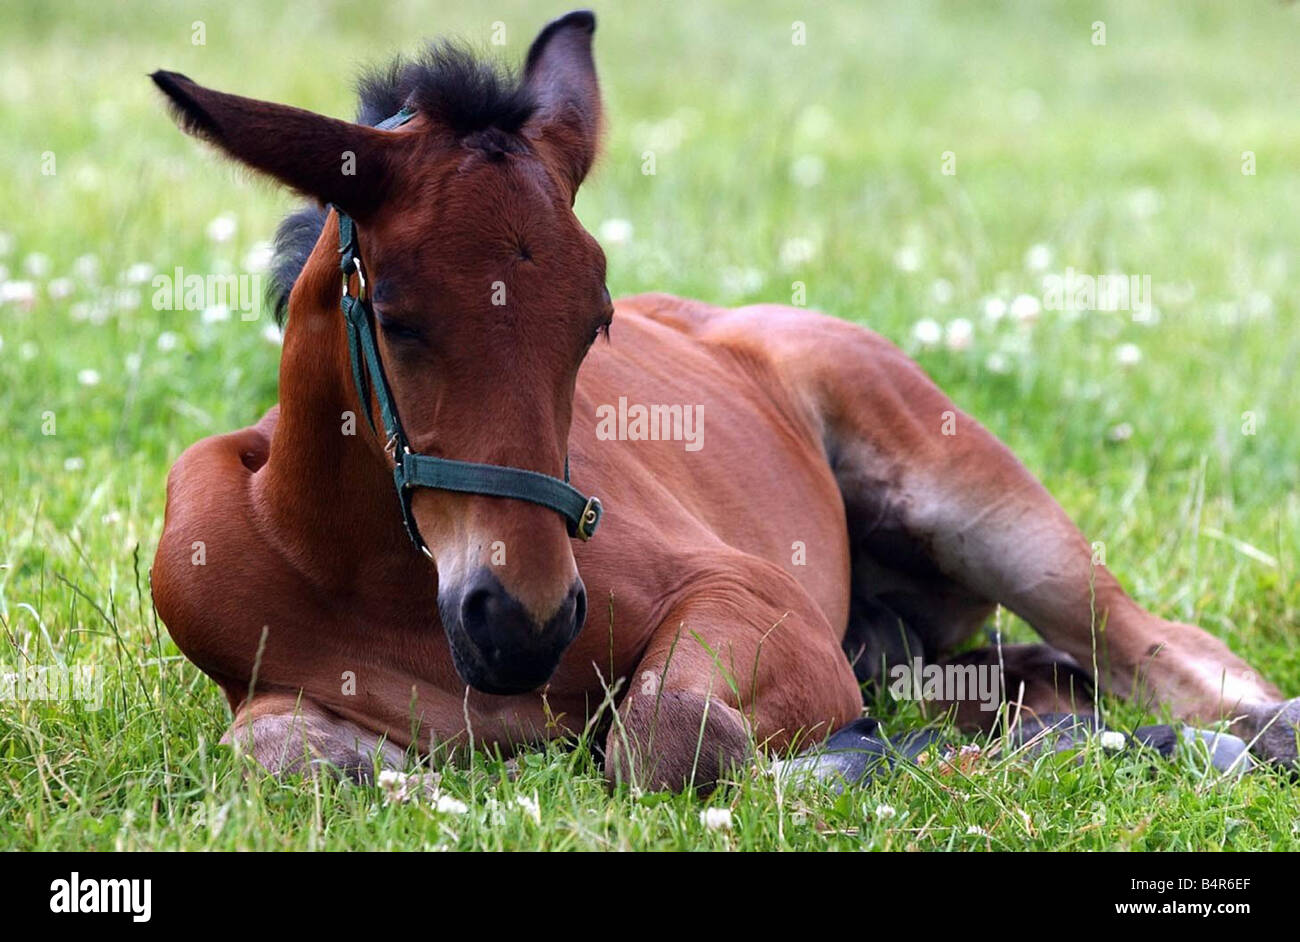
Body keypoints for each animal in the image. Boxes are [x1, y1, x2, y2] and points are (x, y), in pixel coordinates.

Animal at [149, 10, 1299, 791]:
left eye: (596, 323)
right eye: (392, 315)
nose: (520, 625)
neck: (360, 572)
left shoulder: (757, 603)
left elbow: (670, 736)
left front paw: (873, 755)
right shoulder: (266, 699)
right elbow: (290, 755)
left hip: (978, 505)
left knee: (1157, 652)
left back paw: (1239, 734)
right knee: (1022, 671)